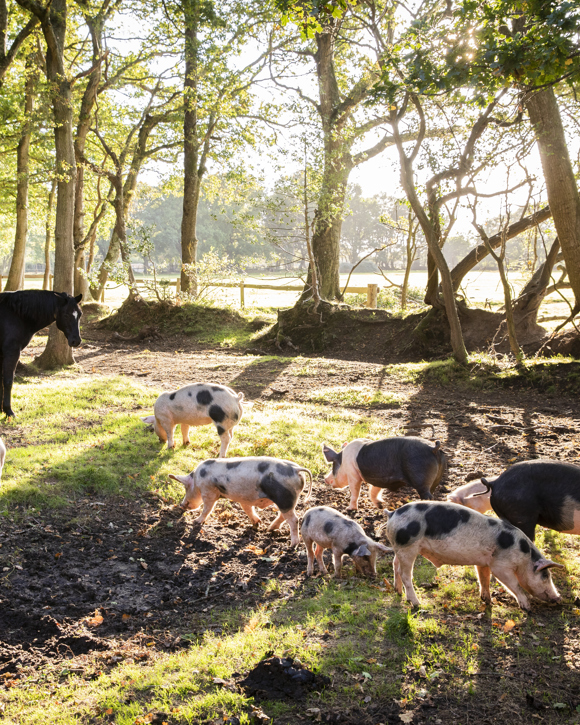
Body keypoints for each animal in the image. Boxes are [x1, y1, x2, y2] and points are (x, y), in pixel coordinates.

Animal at [169, 456, 313, 546]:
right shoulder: (245, 499)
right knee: (283, 515)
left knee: (294, 519)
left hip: (284, 498)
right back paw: (269, 529)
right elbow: (248, 509)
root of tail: (295, 469)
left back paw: (292, 545)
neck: (197, 480)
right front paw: (257, 524)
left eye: (186, 487)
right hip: (287, 501)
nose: (181, 505)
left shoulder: (208, 491)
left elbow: (207, 509)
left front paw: (196, 521)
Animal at [382, 501, 563, 611]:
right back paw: (416, 604)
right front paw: (527, 607)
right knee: (406, 574)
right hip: (408, 546)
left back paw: (397, 592)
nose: (558, 598)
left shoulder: (484, 562)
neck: (524, 556)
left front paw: (487, 600)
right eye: (545, 575)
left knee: (395, 565)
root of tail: (392, 513)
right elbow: (514, 585)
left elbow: (484, 579)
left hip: (400, 547)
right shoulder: (501, 566)